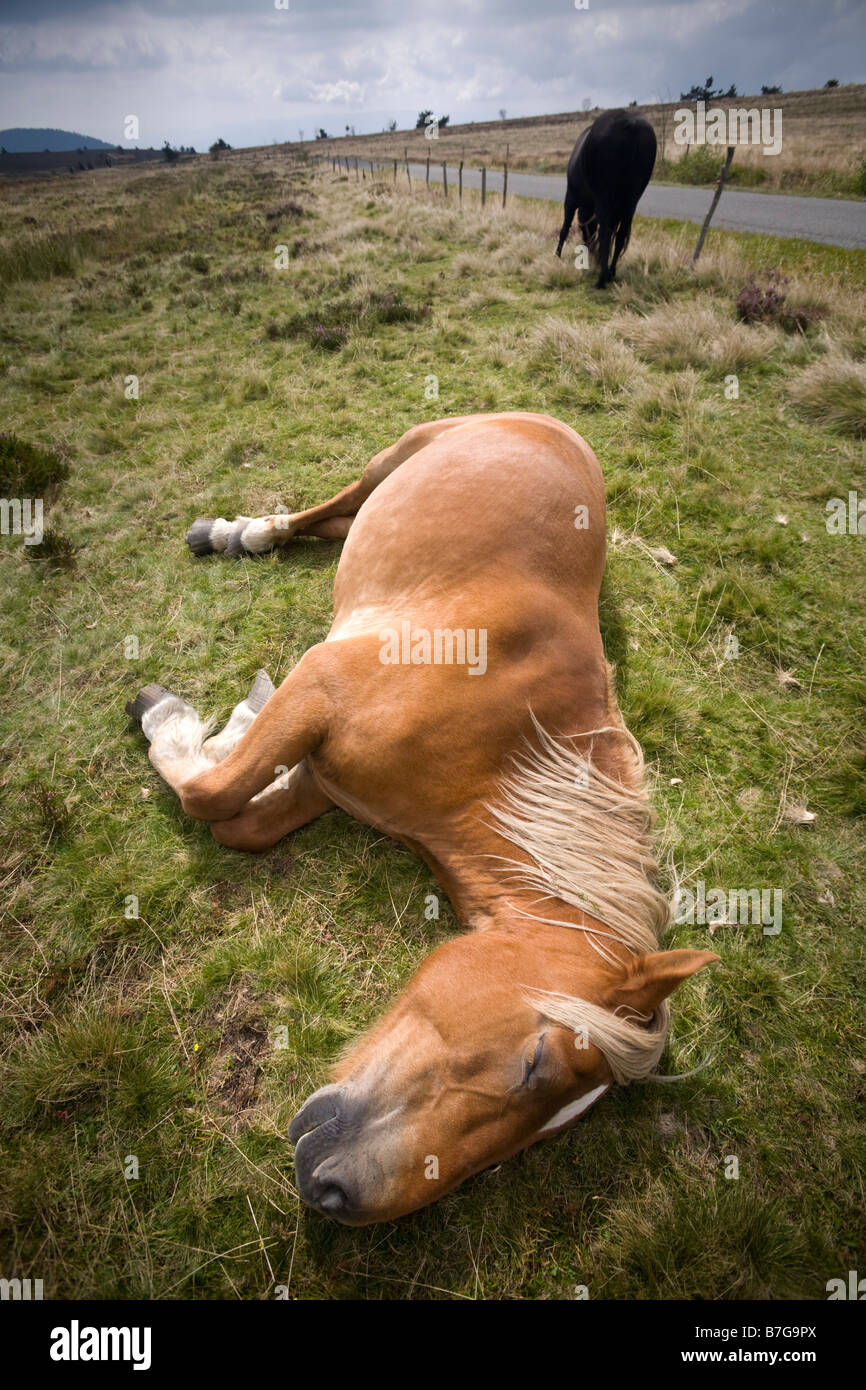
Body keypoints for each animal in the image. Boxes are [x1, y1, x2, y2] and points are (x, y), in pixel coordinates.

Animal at [127, 411, 717, 1225]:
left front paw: (226, 726)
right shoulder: (320, 689)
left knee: (338, 525)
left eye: (535, 1142)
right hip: (397, 455)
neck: (500, 738)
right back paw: (234, 533)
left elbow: (237, 820)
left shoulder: (324, 781)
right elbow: (210, 794)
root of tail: (551, 422)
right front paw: (174, 721)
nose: (336, 1195)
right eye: (535, 1063)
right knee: (325, 511)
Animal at [555, 109, 657, 288]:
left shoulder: (571, 198)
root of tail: (630, 123)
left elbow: (564, 228)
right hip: (631, 201)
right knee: (621, 235)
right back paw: (611, 272)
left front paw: (557, 255)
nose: (588, 245)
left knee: (606, 232)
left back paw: (601, 278)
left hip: (605, 197)